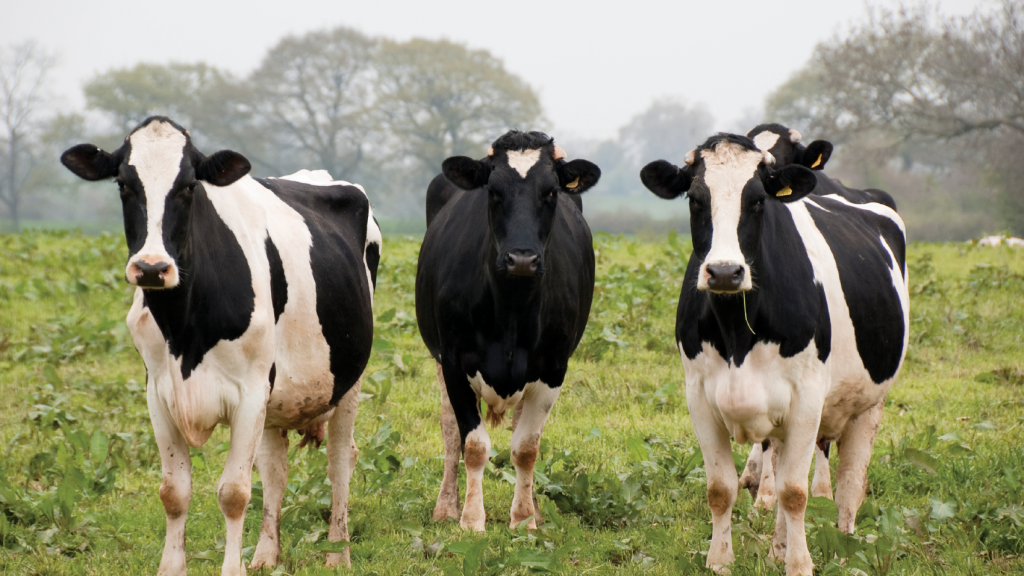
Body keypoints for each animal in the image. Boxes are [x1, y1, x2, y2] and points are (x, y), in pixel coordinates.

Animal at [60, 116, 380, 576]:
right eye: (123, 184)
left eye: (189, 186)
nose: (152, 268)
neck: (184, 329)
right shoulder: (159, 393)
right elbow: (174, 491)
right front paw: (172, 568)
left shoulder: (249, 393)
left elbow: (234, 492)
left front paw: (233, 568)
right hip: (276, 399)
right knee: (276, 469)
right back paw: (265, 555)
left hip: (347, 379)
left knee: (340, 458)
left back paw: (338, 551)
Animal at [415, 130, 600, 531]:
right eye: (493, 191)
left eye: (551, 192)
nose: (522, 259)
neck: (512, 308)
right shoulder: (454, 362)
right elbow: (473, 446)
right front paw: (471, 520)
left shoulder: (553, 368)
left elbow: (526, 447)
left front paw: (524, 518)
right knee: (449, 431)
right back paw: (446, 506)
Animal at [640, 132, 909, 576]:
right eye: (695, 199)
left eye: (758, 200)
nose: (725, 271)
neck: (738, 332)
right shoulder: (699, 397)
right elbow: (721, 489)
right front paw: (720, 561)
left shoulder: (807, 399)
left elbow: (795, 492)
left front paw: (799, 565)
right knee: (782, 462)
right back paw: (777, 548)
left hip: (870, 404)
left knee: (850, 486)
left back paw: (843, 548)